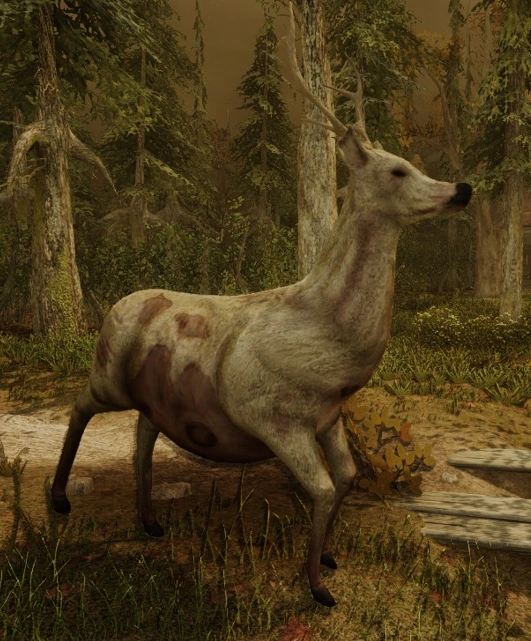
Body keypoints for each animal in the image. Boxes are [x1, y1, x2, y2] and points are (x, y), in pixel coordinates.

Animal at [50, 4, 472, 608]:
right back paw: (60, 499)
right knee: (78, 408)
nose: (461, 188)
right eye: (397, 170)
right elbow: (322, 489)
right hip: (105, 372)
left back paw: (150, 523)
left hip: (151, 395)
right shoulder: (271, 413)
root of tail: (115, 304)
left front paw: (329, 559)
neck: (334, 347)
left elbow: (345, 479)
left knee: (142, 436)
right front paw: (318, 589)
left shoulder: (327, 417)